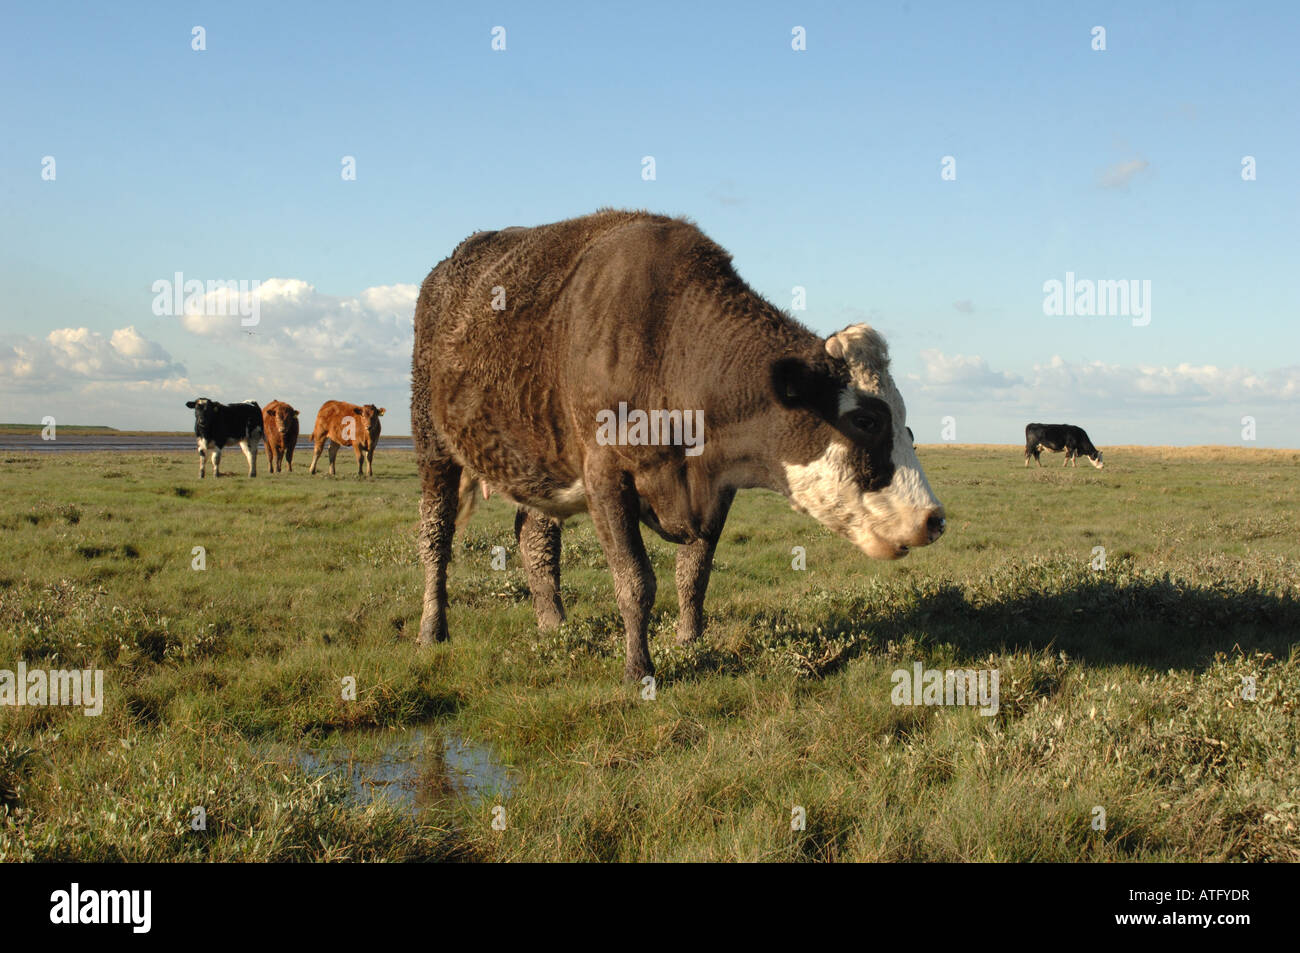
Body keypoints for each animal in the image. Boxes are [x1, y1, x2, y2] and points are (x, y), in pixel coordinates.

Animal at [411, 210, 946, 681]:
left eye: (909, 428)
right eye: (866, 419)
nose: (934, 518)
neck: (667, 343)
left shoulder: (715, 486)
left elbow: (694, 572)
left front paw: (689, 642)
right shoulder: (606, 476)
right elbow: (635, 582)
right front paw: (638, 669)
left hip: (538, 460)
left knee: (535, 538)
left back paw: (554, 627)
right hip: (432, 444)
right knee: (436, 539)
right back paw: (432, 629)